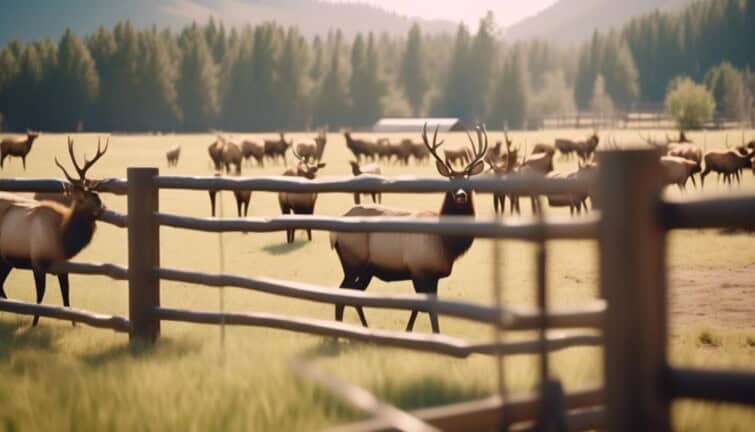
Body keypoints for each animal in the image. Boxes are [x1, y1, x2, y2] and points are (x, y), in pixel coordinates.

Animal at [0, 137, 108, 326]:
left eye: (96, 194)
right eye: (83, 198)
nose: (103, 206)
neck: (62, 238)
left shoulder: (63, 264)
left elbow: (66, 296)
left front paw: (74, 323)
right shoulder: (37, 261)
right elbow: (40, 297)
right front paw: (34, 323)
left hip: (6, 260)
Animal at [330, 123, 487, 334]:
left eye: (468, 178)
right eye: (451, 179)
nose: (461, 195)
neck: (446, 244)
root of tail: (334, 234)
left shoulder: (434, 275)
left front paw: (413, 330)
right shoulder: (418, 269)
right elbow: (424, 307)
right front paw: (426, 332)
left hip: (366, 270)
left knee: (354, 295)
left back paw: (364, 327)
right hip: (353, 263)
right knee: (341, 293)